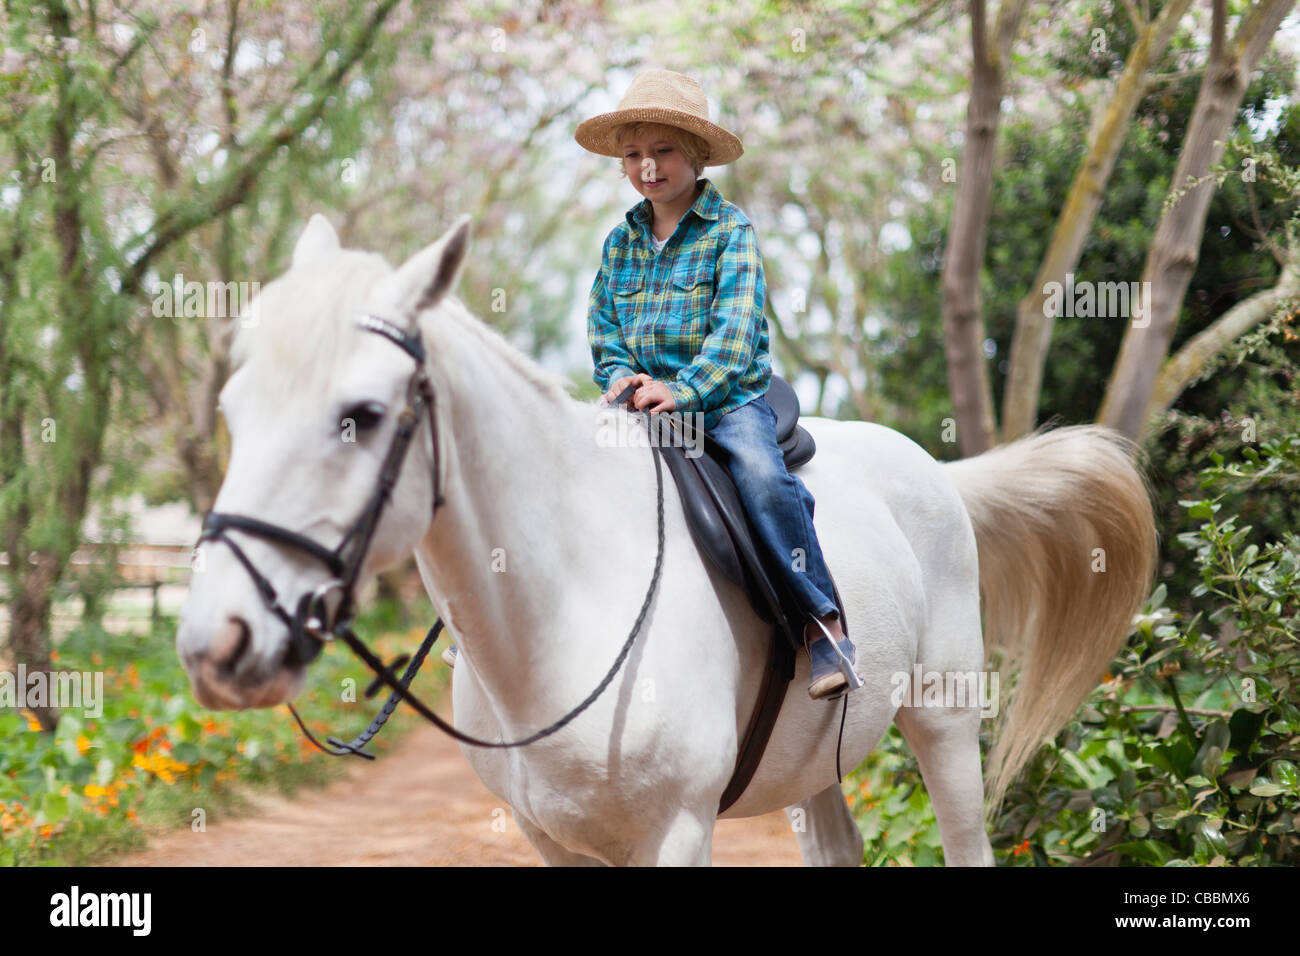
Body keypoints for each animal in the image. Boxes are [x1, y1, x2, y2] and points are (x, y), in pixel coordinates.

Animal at [176, 213, 1158, 866]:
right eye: (234, 408)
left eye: (363, 415)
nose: (216, 644)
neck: (567, 606)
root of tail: (939, 475)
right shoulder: (552, 842)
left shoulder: (677, 833)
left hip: (944, 722)